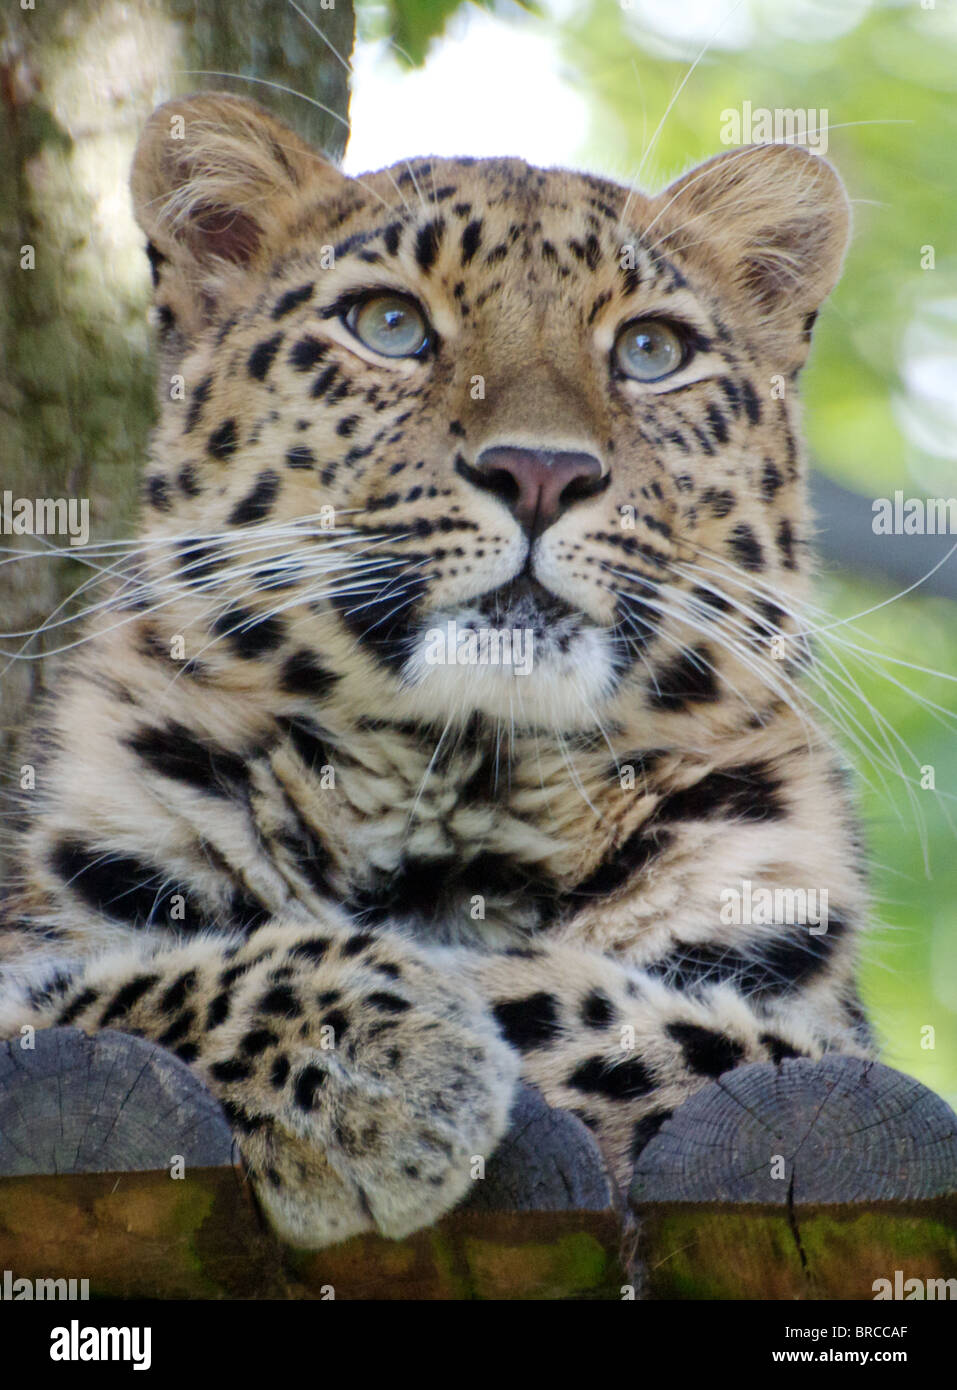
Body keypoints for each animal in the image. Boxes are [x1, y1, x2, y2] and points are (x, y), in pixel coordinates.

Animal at [0, 92, 872, 1249]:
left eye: (650, 350)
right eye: (388, 326)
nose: (541, 472)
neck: (464, 789)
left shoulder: (817, 1034)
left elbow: (636, 1021)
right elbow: (100, 983)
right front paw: (385, 1060)